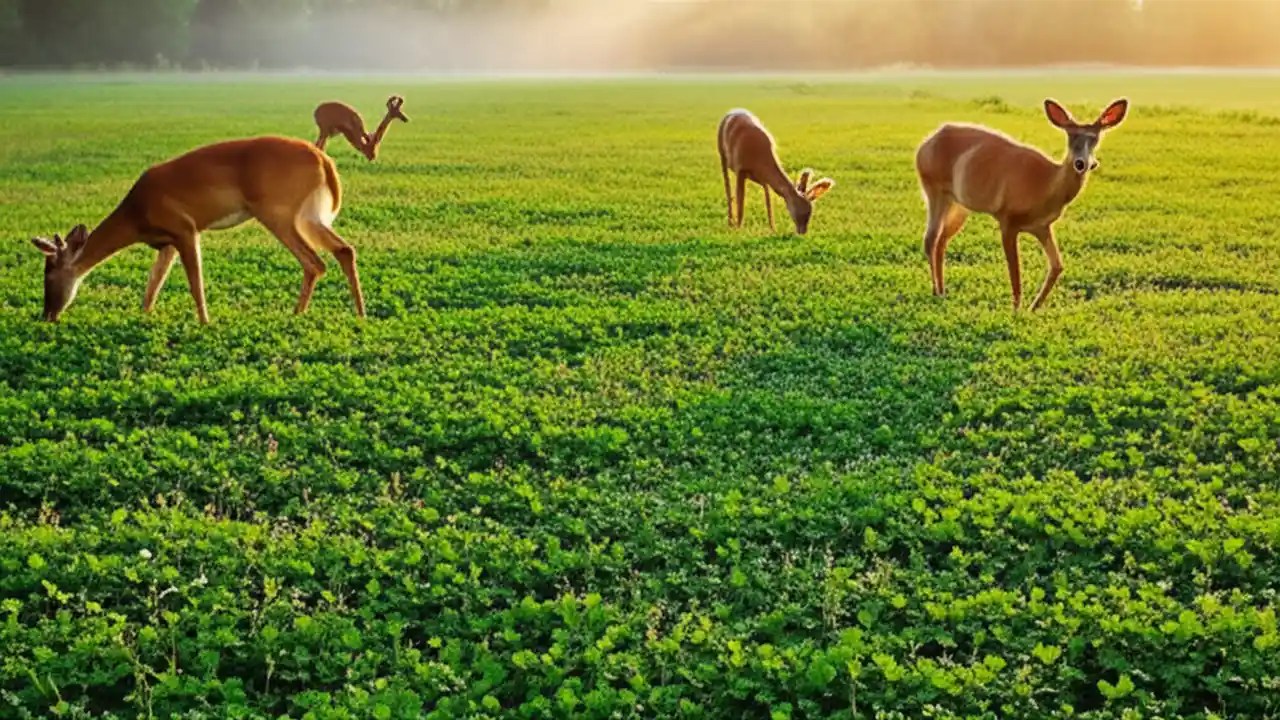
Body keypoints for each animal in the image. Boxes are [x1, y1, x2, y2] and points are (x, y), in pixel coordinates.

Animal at [28, 136, 364, 324]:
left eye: (49, 275)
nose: (47, 315)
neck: (137, 215)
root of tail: (323, 159)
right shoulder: (165, 243)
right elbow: (153, 283)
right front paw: (144, 316)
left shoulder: (186, 229)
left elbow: (194, 282)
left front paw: (205, 323)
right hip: (308, 214)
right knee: (344, 249)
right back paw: (360, 314)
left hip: (278, 212)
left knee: (314, 262)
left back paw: (296, 315)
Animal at [915, 98, 1129, 311]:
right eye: (1071, 136)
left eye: (1095, 139)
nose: (1082, 163)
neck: (1045, 187)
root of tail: (924, 145)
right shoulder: (1007, 218)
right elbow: (1015, 269)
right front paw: (1017, 310)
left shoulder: (1042, 226)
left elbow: (1057, 265)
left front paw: (1033, 308)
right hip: (934, 187)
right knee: (930, 239)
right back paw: (937, 292)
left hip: (960, 205)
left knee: (942, 239)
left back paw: (943, 290)